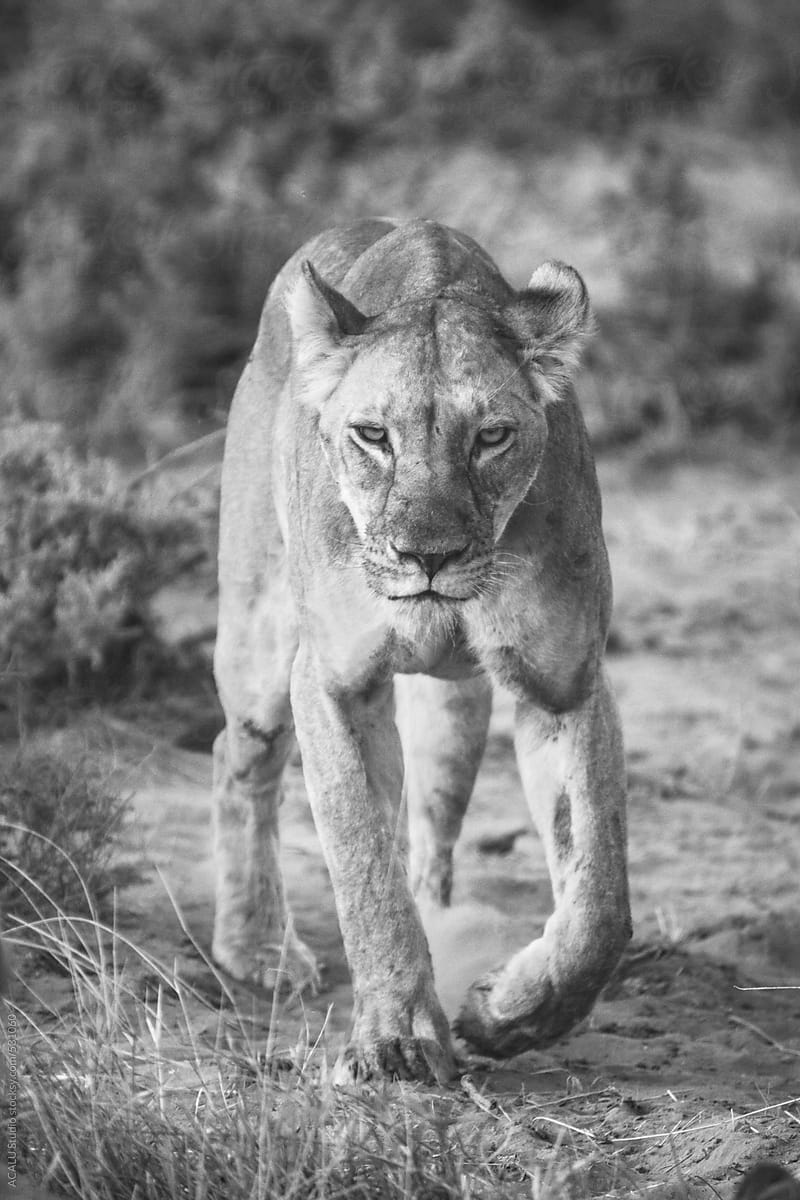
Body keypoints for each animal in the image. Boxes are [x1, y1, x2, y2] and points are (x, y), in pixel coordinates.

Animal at [212, 217, 631, 1082]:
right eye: (374, 436)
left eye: (492, 437)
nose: (427, 556)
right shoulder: (334, 683)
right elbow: (364, 867)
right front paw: (399, 1040)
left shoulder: (565, 683)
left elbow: (599, 895)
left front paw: (515, 1014)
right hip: (259, 642)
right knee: (237, 760)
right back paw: (257, 948)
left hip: (454, 714)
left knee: (430, 841)